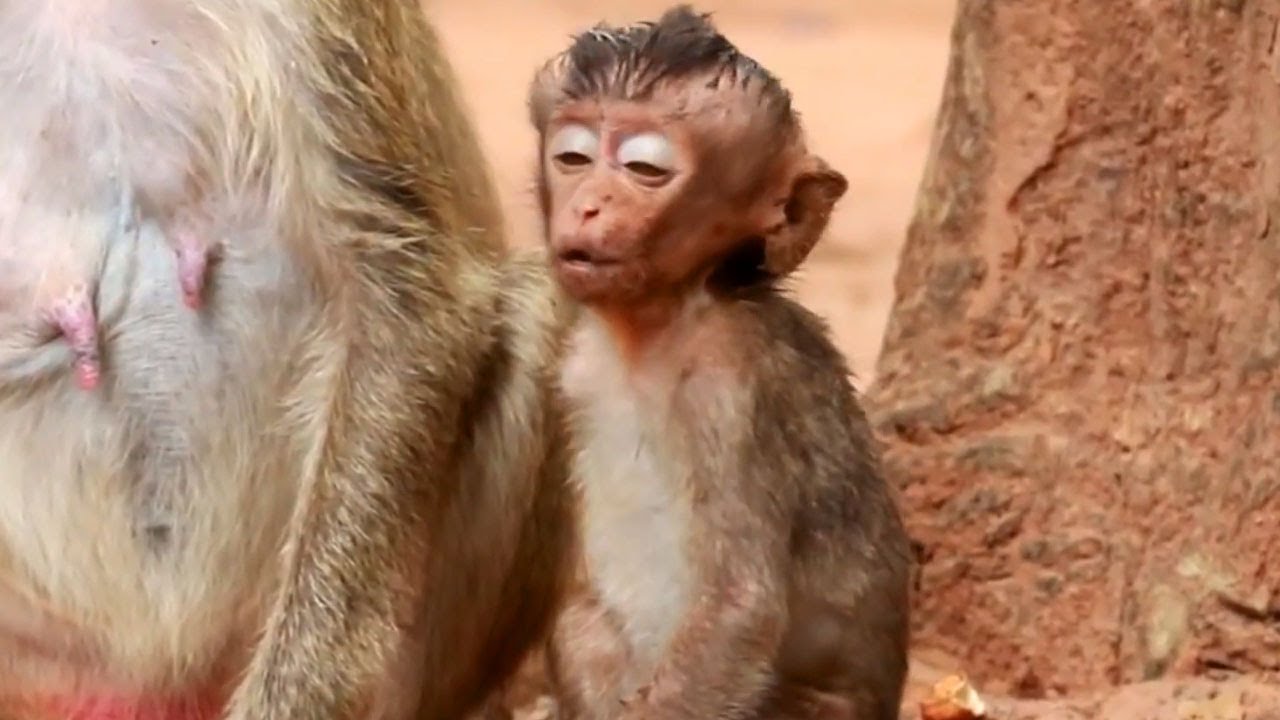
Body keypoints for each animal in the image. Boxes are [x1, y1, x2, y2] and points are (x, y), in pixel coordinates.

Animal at [526, 7, 912, 720]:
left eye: (644, 170)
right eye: (572, 159)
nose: (588, 204)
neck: (660, 326)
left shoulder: (729, 386)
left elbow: (737, 612)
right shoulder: (572, 372)